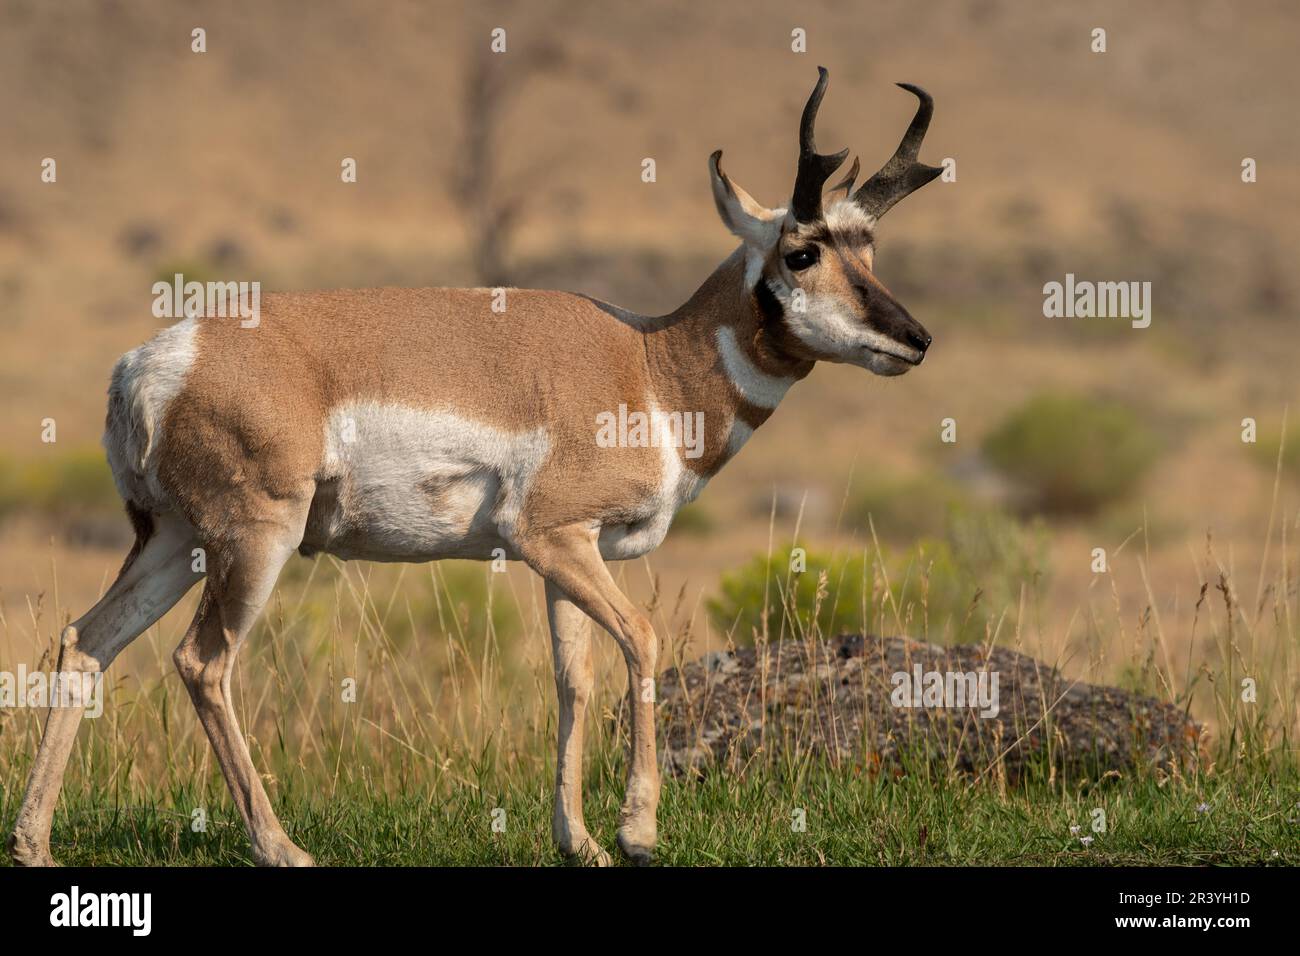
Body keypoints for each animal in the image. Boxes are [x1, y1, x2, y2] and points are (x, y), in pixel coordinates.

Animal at [8, 67, 943, 867]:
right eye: (801, 252)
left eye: (870, 251)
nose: (916, 338)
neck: (646, 364)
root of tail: (155, 362)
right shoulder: (549, 538)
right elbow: (640, 638)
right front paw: (638, 832)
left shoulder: (573, 552)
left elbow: (574, 679)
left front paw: (582, 842)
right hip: (255, 541)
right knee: (203, 663)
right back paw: (282, 847)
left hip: (174, 543)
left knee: (86, 642)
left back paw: (35, 843)